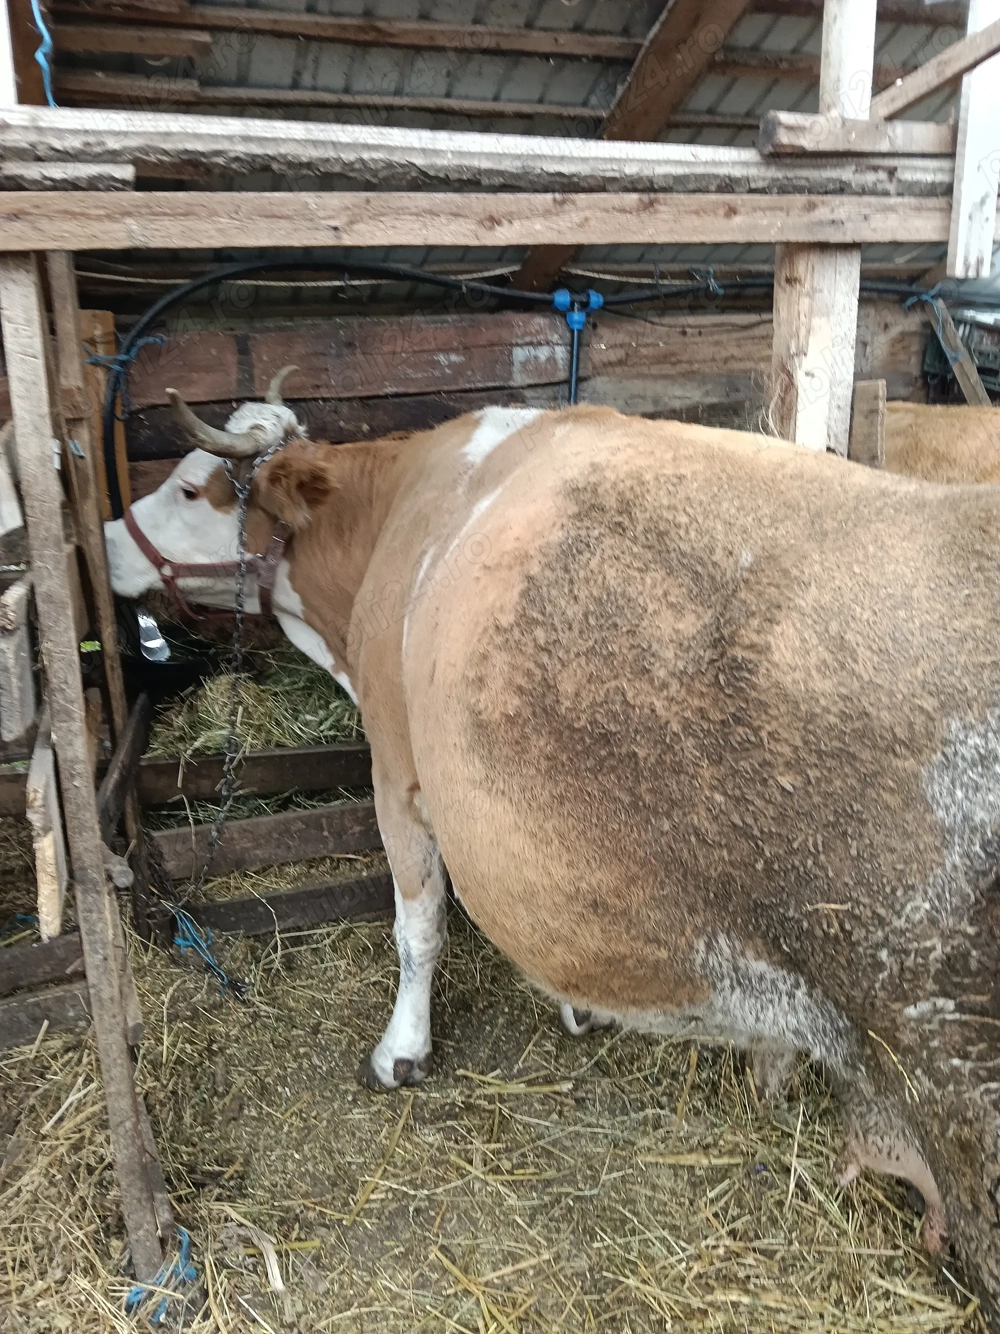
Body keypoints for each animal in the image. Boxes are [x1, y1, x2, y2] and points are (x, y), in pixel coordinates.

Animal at [104, 383, 1000, 1326]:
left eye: (192, 486)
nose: (104, 539)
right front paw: (579, 1008)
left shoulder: (397, 761)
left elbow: (417, 927)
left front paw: (402, 1050)